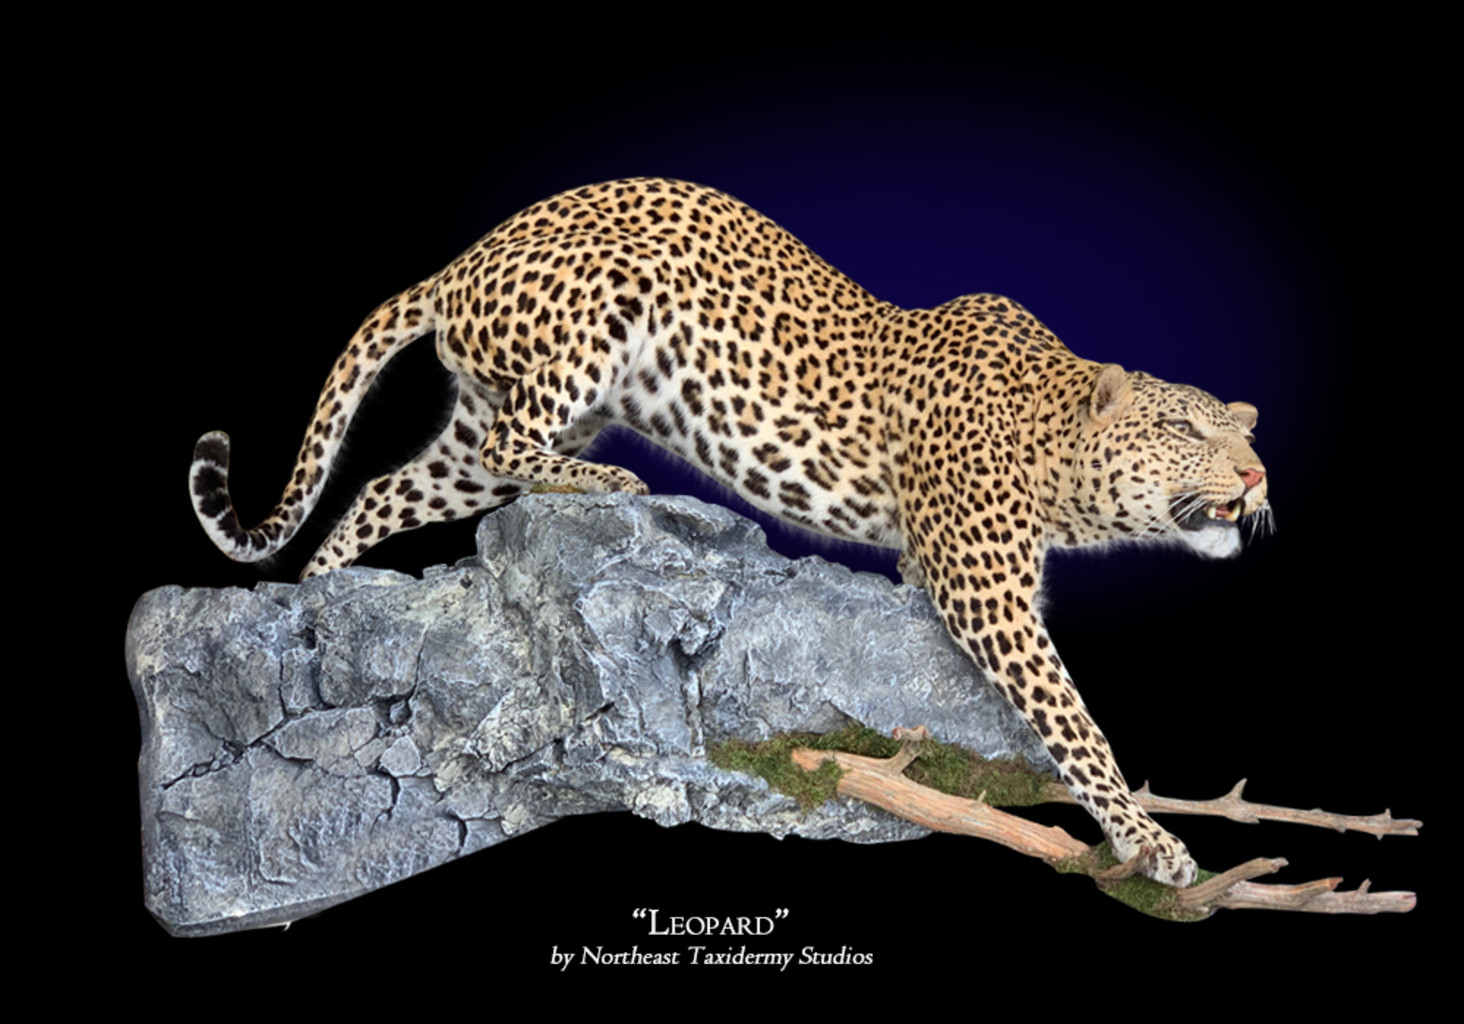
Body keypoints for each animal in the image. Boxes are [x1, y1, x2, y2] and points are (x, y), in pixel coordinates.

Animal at [190, 177, 1270, 887]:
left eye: (1244, 431)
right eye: (1187, 429)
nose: (1259, 474)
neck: (1055, 449)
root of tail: (467, 256)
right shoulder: (984, 589)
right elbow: (1075, 723)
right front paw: (1153, 841)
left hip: (471, 441)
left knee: (384, 486)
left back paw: (317, 600)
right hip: (588, 322)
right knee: (510, 444)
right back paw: (608, 483)